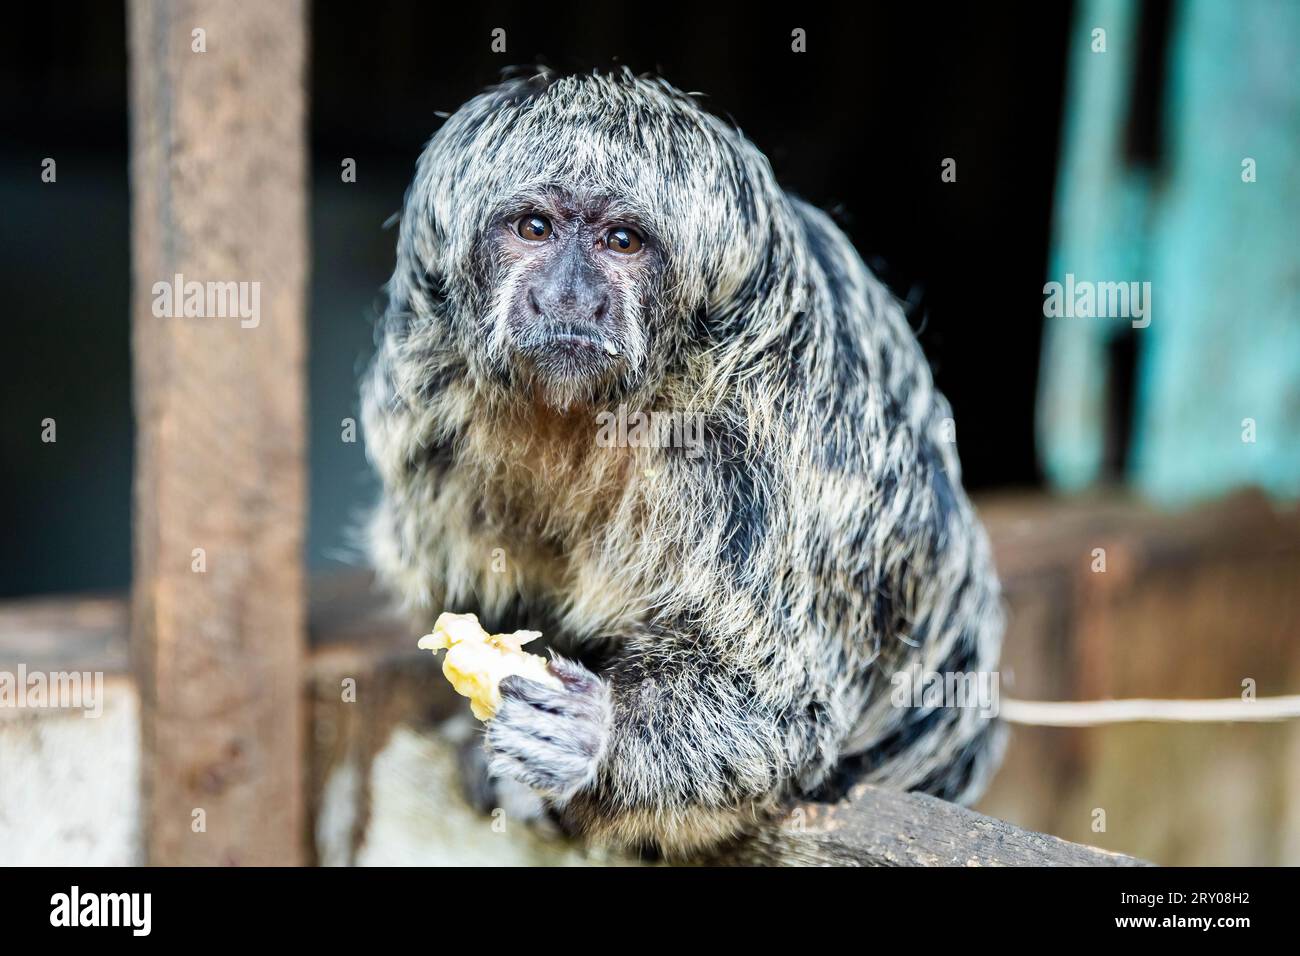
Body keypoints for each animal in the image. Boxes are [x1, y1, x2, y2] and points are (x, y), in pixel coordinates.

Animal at [361, 69, 1005, 858]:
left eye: (622, 241)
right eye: (534, 228)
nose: (570, 297)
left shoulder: (764, 435)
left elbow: (778, 704)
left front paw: (597, 738)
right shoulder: (429, 417)